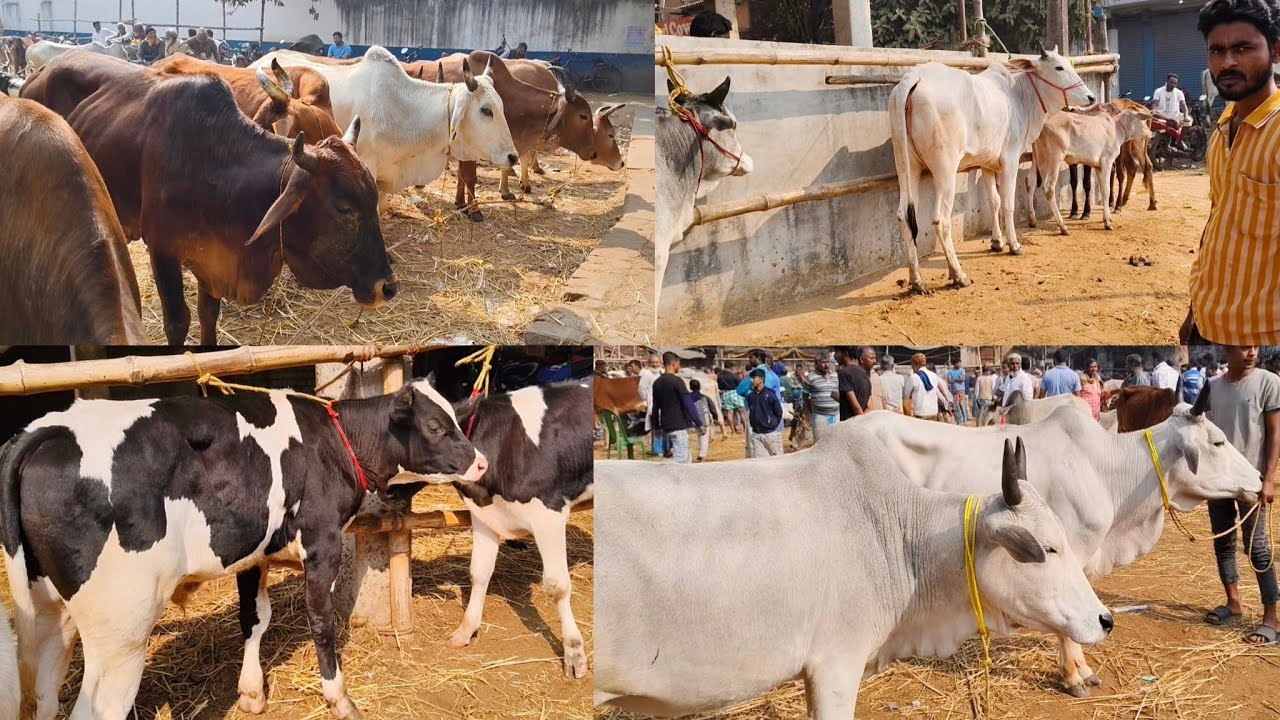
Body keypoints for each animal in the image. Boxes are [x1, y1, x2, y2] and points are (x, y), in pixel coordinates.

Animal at [1, 378, 488, 720]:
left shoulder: (255, 554)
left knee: (45, 695)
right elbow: (322, 623)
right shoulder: (323, 543)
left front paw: (252, 692)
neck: (332, 443)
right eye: (435, 426)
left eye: (455, 418)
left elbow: (254, 618)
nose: (481, 462)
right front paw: (340, 699)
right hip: (121, 627)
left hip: (48, 613)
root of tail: (49, 427)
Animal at [446, 382, 593, 678]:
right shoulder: (484, 514)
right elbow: (479, 572)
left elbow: (557, 585)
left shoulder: (549, 512)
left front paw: (574, 652)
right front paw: (466, 630)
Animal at [856, 394, 1260, 697]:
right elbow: (1067, 621)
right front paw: (1073, 675)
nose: (1259, 478)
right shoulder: (1063, 552)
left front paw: (1082, 665)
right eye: (1218, 441)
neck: (1104, 468)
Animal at [889, 46, 1094, 292]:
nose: (1091, 97)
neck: (1020, 98)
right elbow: (1007, 205)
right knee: (941, 219)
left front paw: (997, 242)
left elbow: (994, 202)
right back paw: (958, 274)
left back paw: (917, 280)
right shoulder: (1010, 160)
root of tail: (915, 77)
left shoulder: (986, 164)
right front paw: (1014, 245)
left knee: (903, 216)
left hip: (908, 166)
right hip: (945, 168)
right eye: (1059, 67)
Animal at [1026, 105, 1152, 233]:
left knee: (1030, 181)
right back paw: (1062, 226)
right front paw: (1107, 222)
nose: (1151, 133)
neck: (1116, 128)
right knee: (1048, 187)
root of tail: (1044, 121)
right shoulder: (1107, 161)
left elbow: (1102, 190)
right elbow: (1106, 190)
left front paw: (1106, 218)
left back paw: (1032, 220)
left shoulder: (1098, 166)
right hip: (1055, 158)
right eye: (1143, 121)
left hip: (1038, 158)